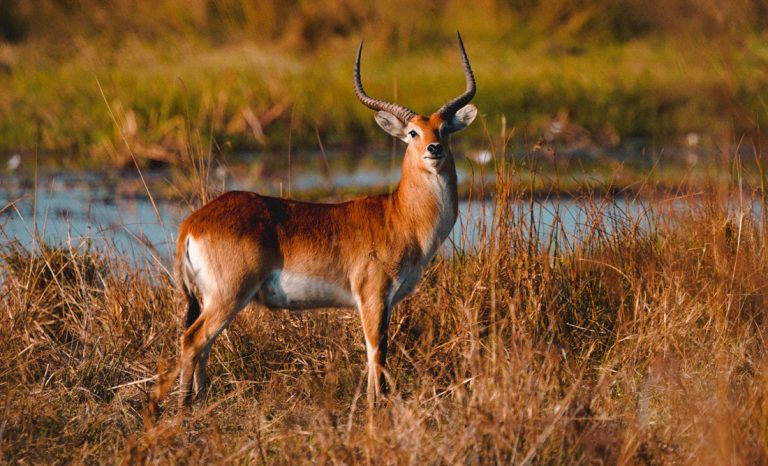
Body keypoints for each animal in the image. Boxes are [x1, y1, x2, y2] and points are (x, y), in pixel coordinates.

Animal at [174, 33, 477, 407]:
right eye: (412, 133)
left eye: (444, 129)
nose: (434, 149)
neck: (399, 216)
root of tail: (192, 223)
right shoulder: (373, 295)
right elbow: (377, 352)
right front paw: (376, 406)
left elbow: (374, 355)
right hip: (229, 295)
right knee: (192, 340)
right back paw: (184, 407)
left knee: (203, 345)